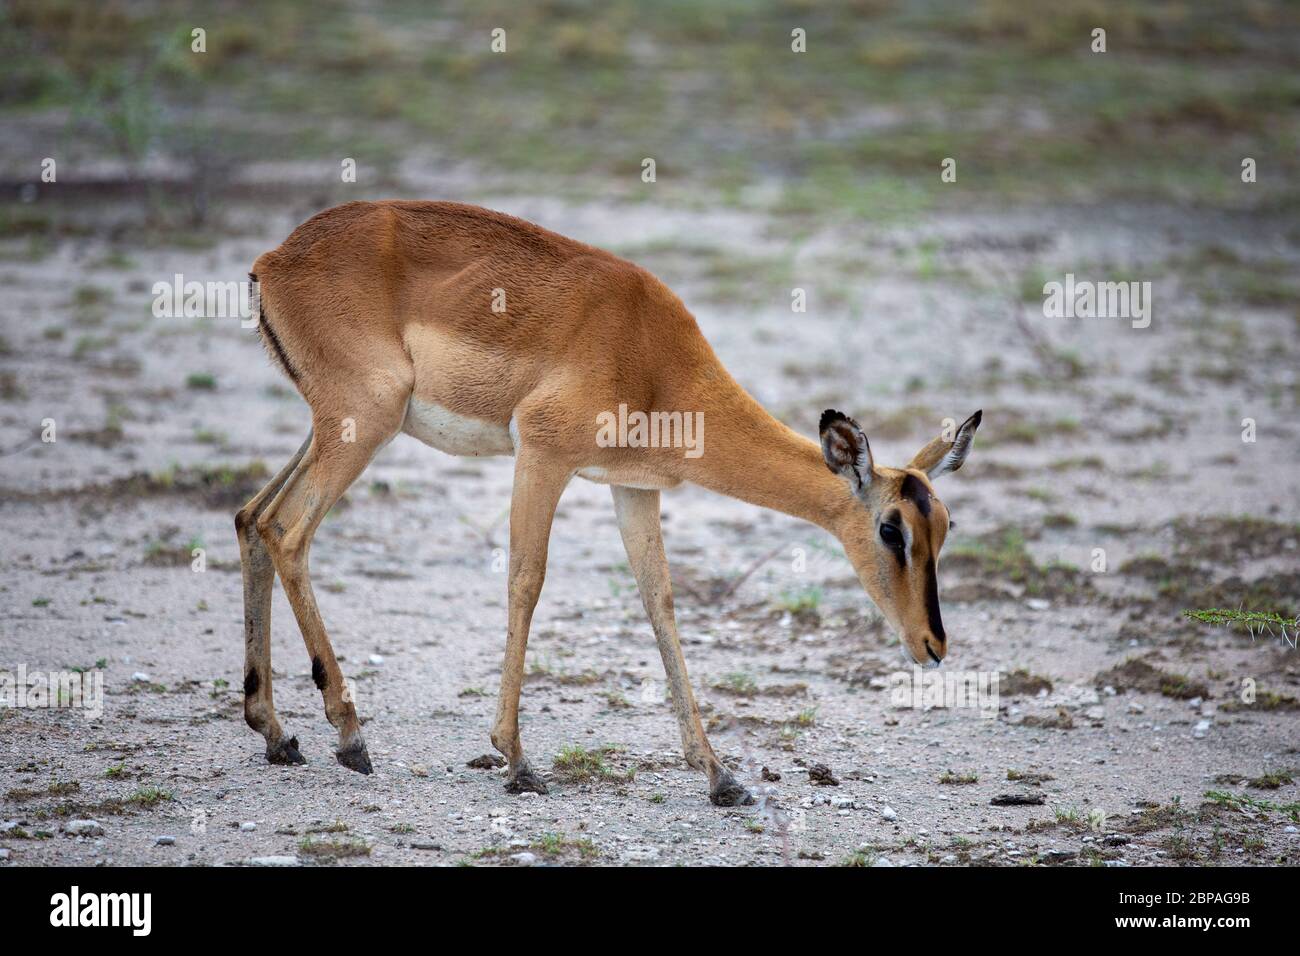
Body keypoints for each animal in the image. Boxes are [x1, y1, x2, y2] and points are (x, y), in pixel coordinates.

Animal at [236, 200, 982, 806]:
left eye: (945, 524)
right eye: (892, 530)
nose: (934, 644)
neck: (652, 353)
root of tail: (274, 260)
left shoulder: (635, 488)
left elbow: (660, 604)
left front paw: (721, 776)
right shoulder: (542, 456)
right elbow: (526, 581)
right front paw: (518, 761)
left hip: (332, 427)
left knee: (252, 518)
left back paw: (277, 733)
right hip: (365, 421)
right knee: (289, 532)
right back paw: (350, 738)